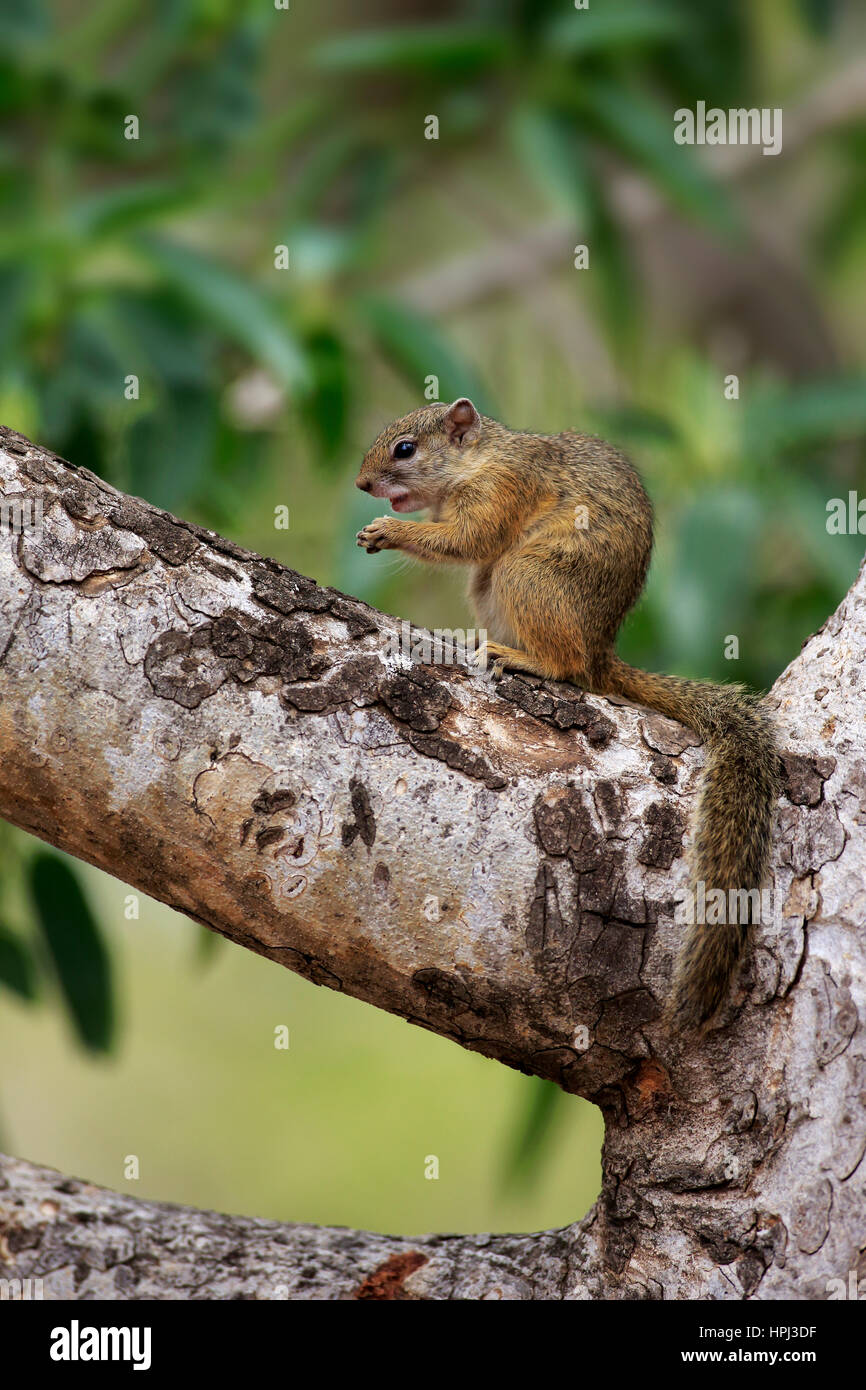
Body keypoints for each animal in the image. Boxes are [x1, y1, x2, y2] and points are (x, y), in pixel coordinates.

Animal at [355, 398, 779, 1030]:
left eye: (405, 449)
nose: (362, 484)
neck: (481, 459)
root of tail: (601, 651)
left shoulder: (503, 491)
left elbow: (465, 538)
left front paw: (389, 530)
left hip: (528, 575)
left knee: (566, 663)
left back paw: (523, 657)